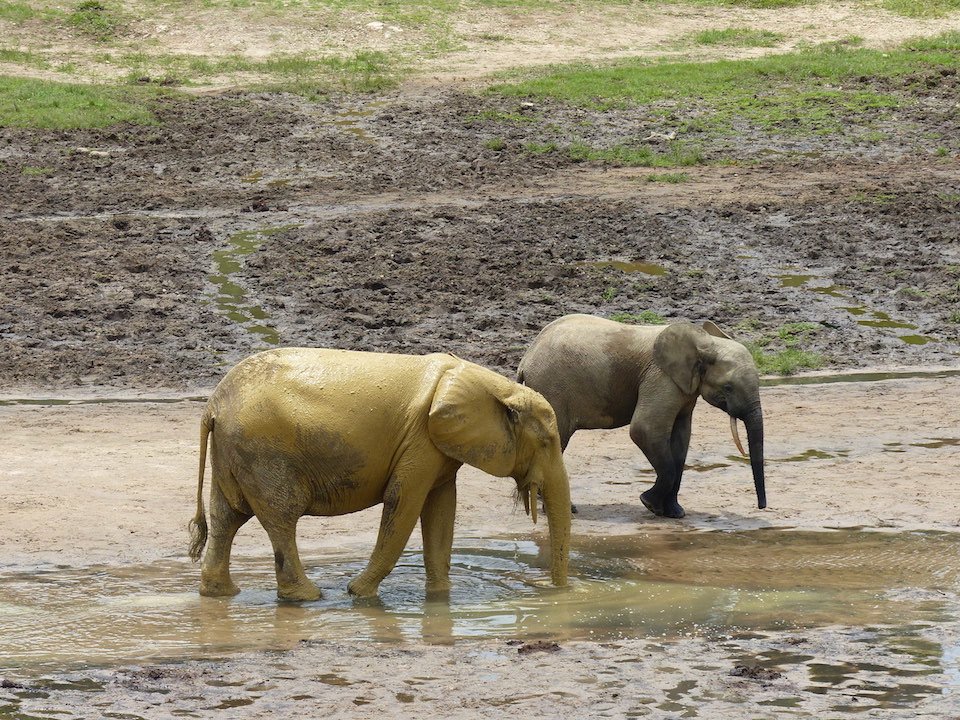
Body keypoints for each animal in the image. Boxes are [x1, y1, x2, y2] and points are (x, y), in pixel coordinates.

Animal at [188, 347, 571, 601]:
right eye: (547, 442)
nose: (549, 589)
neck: (497, 386)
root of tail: (213, 405)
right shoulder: (420, 441)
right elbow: (403, 503)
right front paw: (359, 595)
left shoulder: (439, 449)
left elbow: (441, 511)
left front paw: (440, 598)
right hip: (262, 452)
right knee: (280, 519)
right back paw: (309, 597)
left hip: (235, 451)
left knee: (227, 517)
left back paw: (222, 593)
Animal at [517, 314, 766, 519]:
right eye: (728, 388)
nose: (762, 507)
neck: (703, 342)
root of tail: (525, 360)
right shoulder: (661, 378)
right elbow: (644, 430)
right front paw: (649, 504)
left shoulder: (683, 389)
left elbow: (681, 440)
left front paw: (674, 513)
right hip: (552, 390)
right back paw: (566, 510)